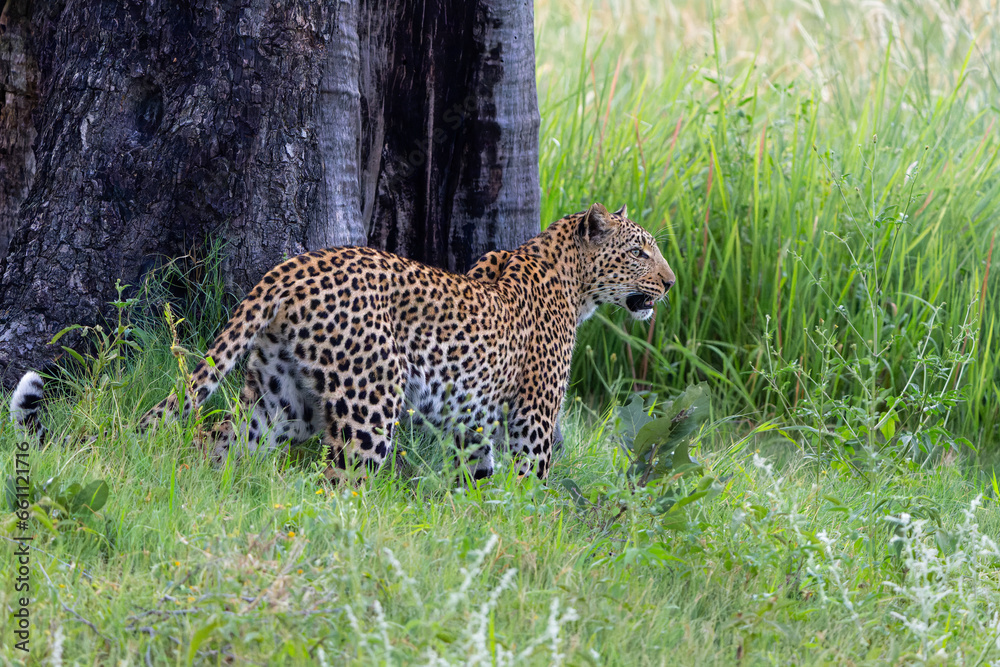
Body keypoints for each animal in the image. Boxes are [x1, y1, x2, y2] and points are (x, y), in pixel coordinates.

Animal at [11, 203, 675, 481]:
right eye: (641, 251)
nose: (670, 283)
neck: (575, 282)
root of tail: (287, 269)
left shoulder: (473, 423)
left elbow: (480, 481)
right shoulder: (532, 417)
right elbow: (530, 484)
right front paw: (523, 536)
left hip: (280, 400)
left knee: (219, 436)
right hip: (369, 405)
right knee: (339, 482)